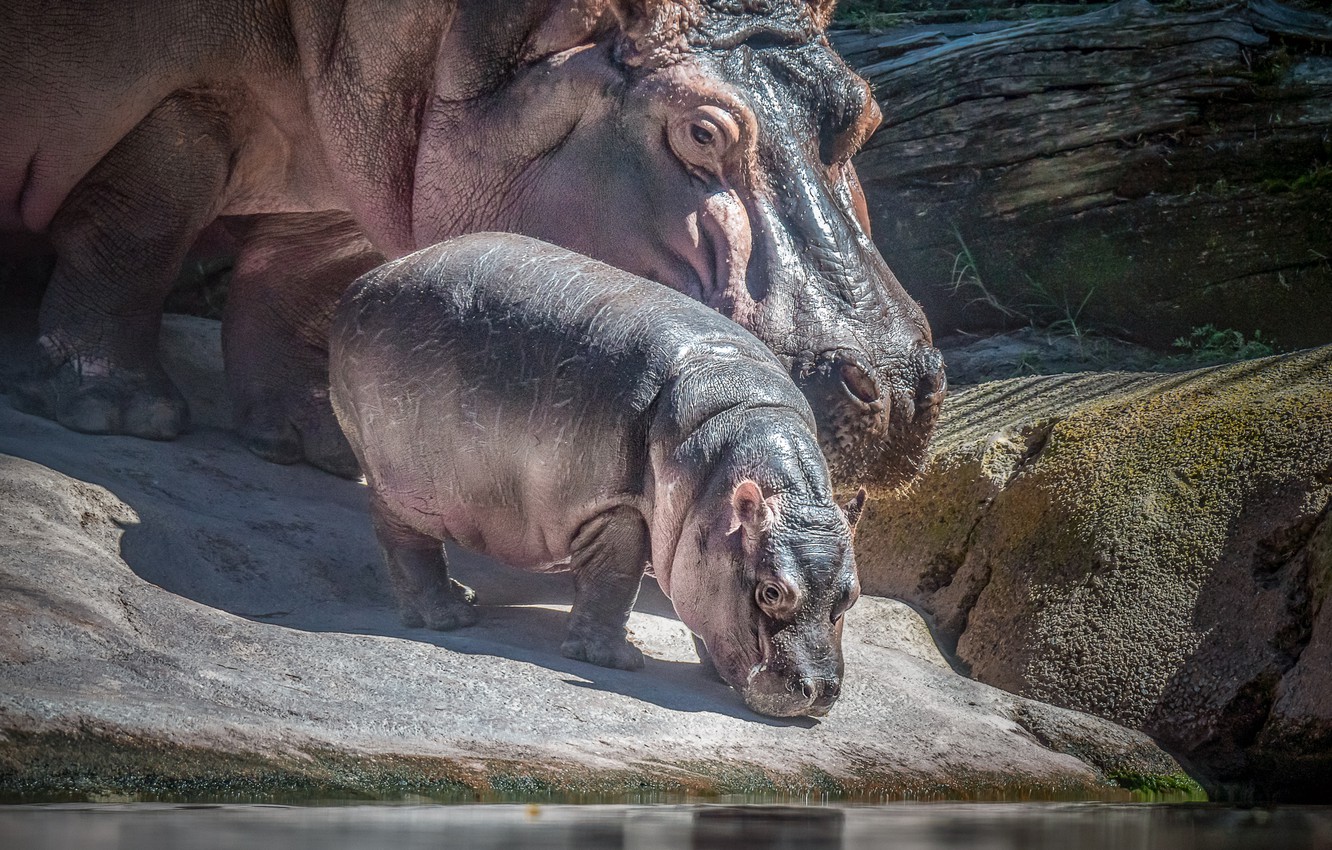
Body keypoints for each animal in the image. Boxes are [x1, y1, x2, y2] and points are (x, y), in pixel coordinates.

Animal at [1, 0, 944, 491]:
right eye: (701, 131)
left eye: (865, 110)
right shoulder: (184, 97)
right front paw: (121, 413)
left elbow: (294, 285)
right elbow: (137, 232)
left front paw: (322, 443)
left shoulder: (351, 154)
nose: (898, 386)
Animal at [330, 233, 865, 718]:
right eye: (771, 591)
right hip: (402, 480)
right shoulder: (617, 507)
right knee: (406, 540)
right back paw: (448, 617)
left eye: (852, 595)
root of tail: (363, 283)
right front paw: (615, 659)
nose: (819, 691)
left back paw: (465, 596)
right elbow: (614, 579)